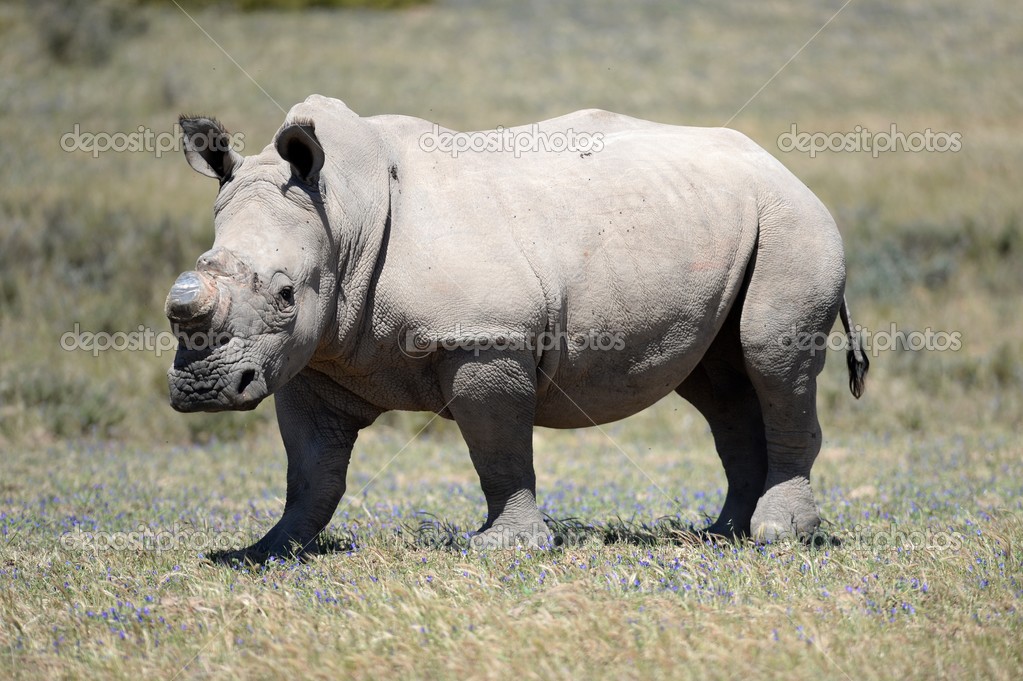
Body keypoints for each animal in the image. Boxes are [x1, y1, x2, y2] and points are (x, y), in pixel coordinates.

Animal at [166, 95, 868, 562]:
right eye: (197, 269)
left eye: (286, 294)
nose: (201, 390)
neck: (342, 211)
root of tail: (782, 167)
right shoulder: (317, 352)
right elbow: (310, 468)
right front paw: (266, 551)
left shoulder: (485, 338)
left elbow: (497, 446)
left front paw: (505, 548)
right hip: (721, 223)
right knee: (718, 383)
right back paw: (723, 534)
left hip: (792, 221)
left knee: (771, 357)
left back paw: (778, 537)